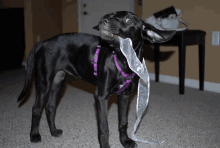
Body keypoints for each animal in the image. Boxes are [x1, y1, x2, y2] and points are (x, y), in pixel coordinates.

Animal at [17, 11, 175, 147]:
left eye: (128, 21)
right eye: (111, 15)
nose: (103, 21)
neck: (122, 60)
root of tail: (43, 42)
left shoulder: (124, 96)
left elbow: (123, 122)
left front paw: (125, 141)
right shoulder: (101, 96)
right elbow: (104, 128)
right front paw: (106, 146)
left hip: (58, 81)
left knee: (50, 107)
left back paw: (54, 131)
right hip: (44, 82)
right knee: (36, 108)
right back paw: (34, 135)